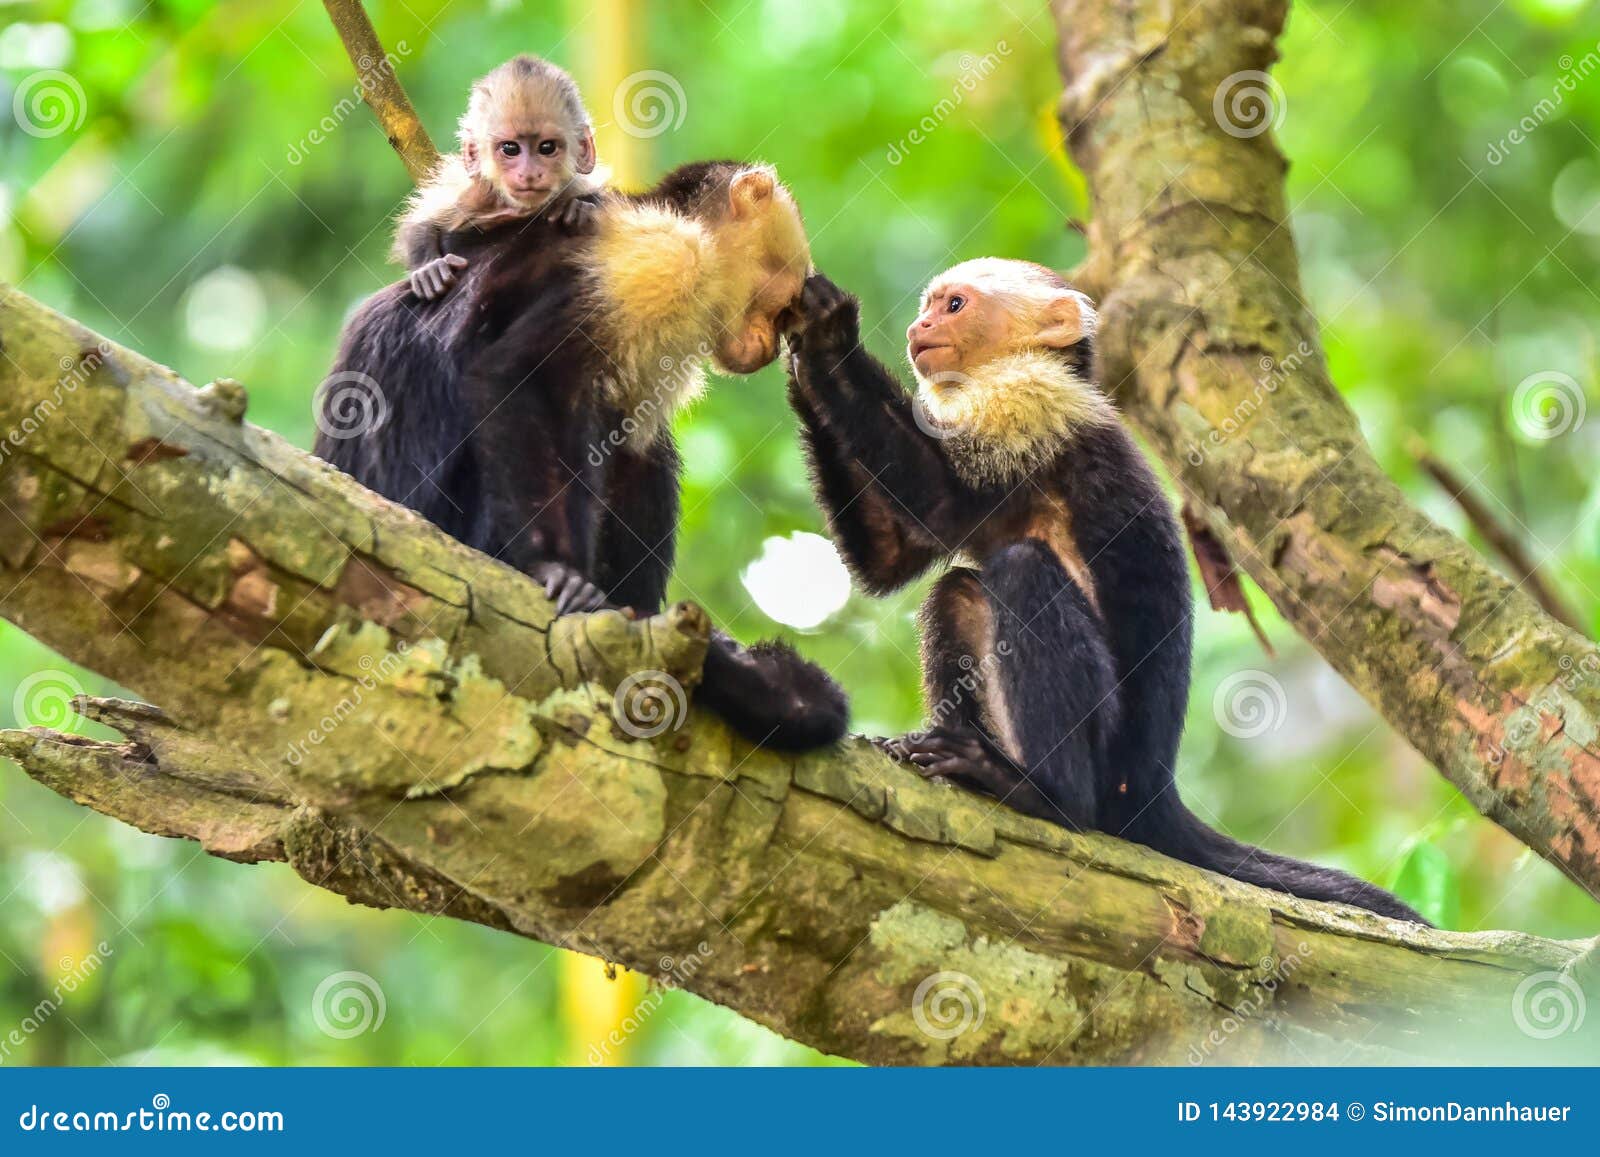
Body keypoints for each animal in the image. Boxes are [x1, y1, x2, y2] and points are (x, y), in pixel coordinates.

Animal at [318, 160, 847, 751]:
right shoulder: (662, 260)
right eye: (784, 309)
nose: (772, 346)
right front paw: (554, 569)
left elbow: (628, 441)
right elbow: (510, 374)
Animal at [393, 54, 604, 302]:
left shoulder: (572, 185)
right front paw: (429, 267)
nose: (529, 173)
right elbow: (422, 221)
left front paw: (578, 208)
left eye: (547, 147)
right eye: (510, 148)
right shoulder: (473, 193)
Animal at [780, 260, 1424, 922]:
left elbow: (940, 499)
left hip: (1110, 749)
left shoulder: (1033, 400)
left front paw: (826, 336)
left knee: (1021, 571)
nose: (919, 328)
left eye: (954, 305)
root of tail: (1153, 789)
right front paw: (799, 363)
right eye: (928, 307)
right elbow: (892, 556)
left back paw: (1043, 795)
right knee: (959, 592)